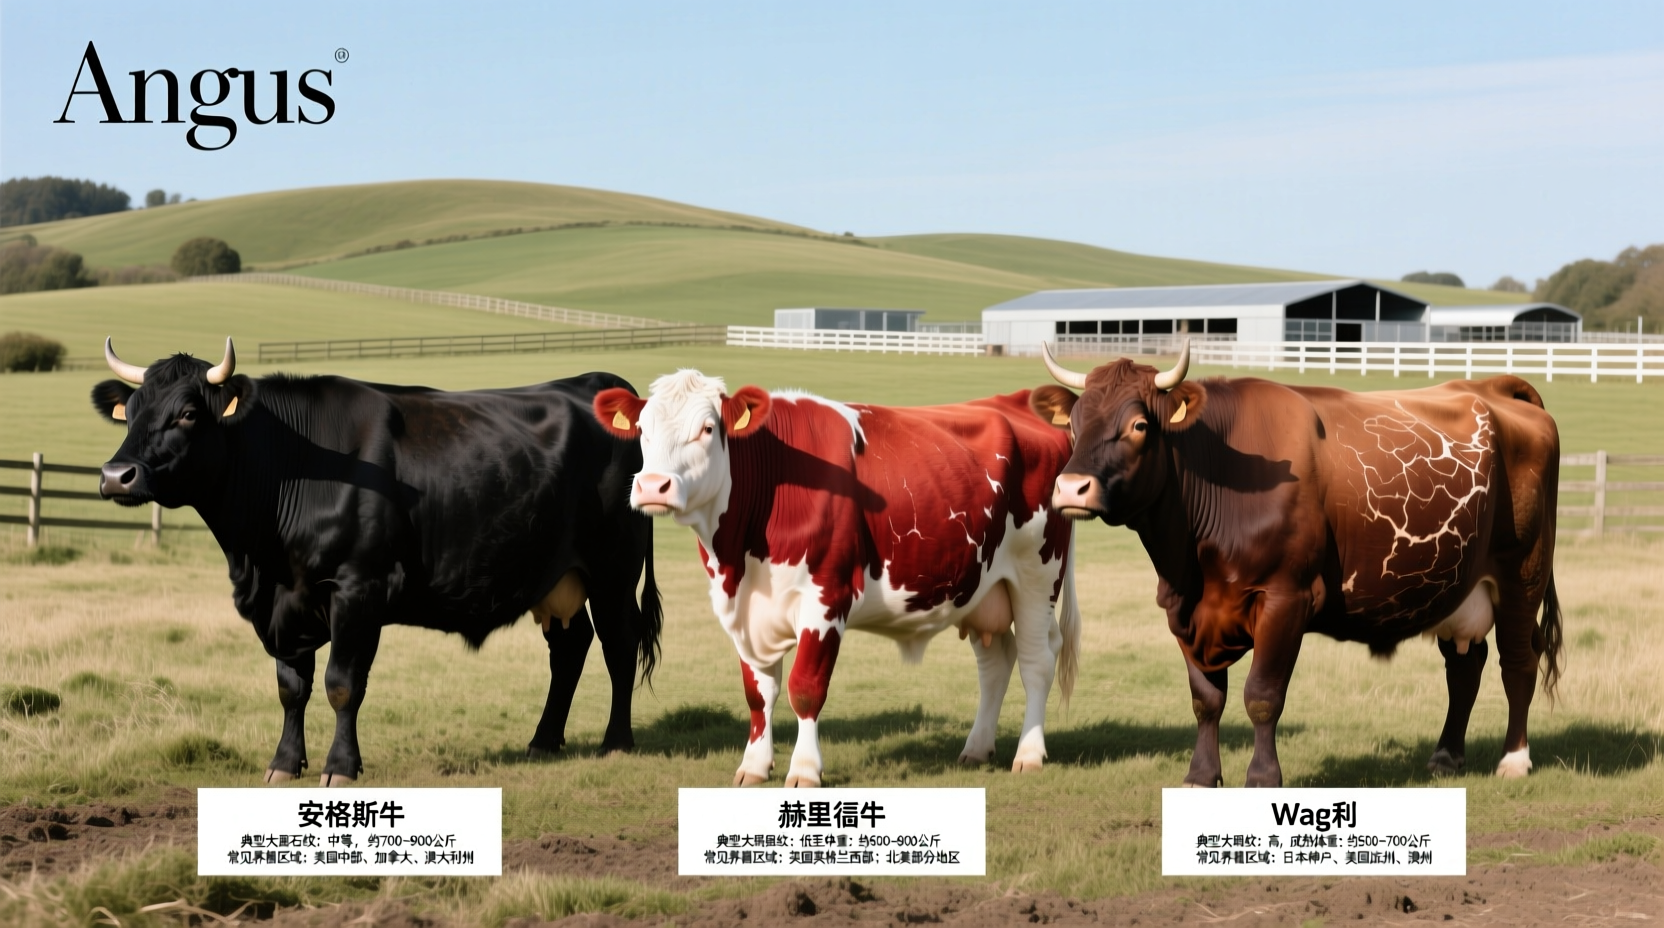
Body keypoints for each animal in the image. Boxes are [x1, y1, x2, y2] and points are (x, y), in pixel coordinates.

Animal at [92, 337, 661, 785]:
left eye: (188, 413)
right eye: (133, 411)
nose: (116, 475)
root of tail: (600, 382)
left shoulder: (358, 589)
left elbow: (342, 684)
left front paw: (340, 766)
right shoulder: (285, 602)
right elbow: (290, 687)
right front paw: (284, 763)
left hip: (613, 569)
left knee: (618, 644)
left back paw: (616, 741)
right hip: (556, 576)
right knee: (570, 648)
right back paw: (543, 740)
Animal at [592, 370, 1080, 787]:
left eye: (708, 429)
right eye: (643, 429)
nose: (652, 486)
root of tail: (1015, 402)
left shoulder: (826, 596)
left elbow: (806, 687)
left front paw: (805, 770)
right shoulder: (741, 611)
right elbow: (758, 692)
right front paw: (754, 766)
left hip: (1037, 576)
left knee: (1036, 660)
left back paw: (1029, 754)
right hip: (983, 587)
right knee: (996, 660)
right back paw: (977, 748)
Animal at [1032, 341, 1562, 787]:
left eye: (1139, 426)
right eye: (1074, 423)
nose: (1071, 488)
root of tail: (1491, 388)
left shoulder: (1285, 598)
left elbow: (1263, 696)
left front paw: (1263, 777)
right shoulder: (1183, 609)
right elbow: (1206, 699)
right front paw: (1201, 776)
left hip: (1522, 575)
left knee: (1518, 661)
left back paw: (1514, 760)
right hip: (1458, 586)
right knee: (1465, 666)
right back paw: (1447, 755)